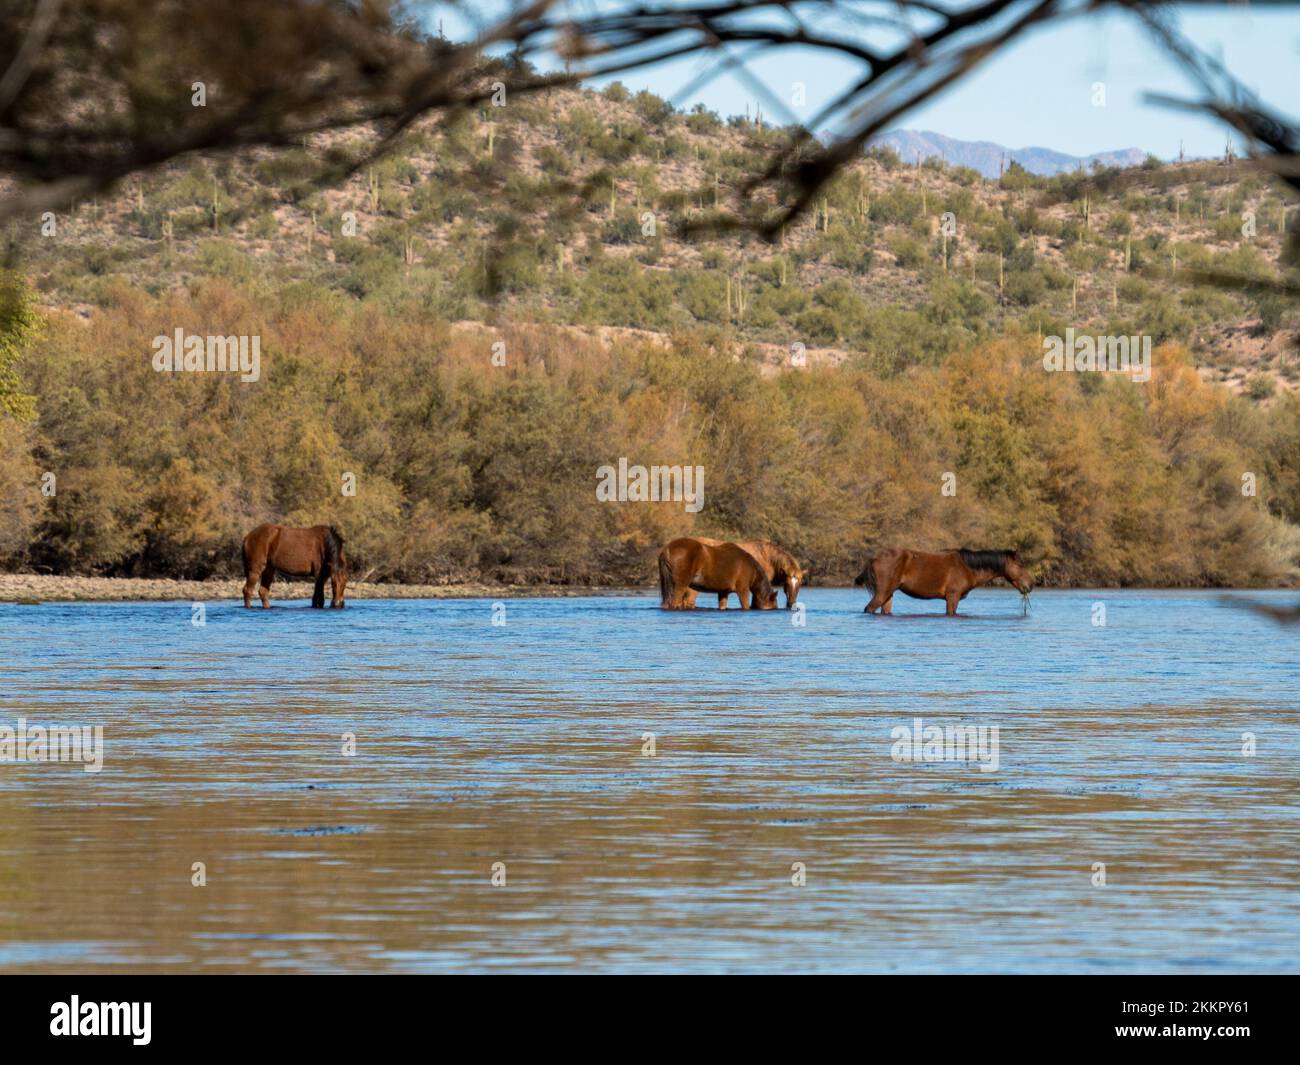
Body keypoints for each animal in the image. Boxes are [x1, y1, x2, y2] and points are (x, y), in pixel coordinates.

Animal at [854, 547, 1031, 616]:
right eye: (1020, 565)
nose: (1030, 585)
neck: (967, 566)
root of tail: (874, 558)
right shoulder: (952, 597)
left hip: (889, 594)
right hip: (882, 592)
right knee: (869, 609)